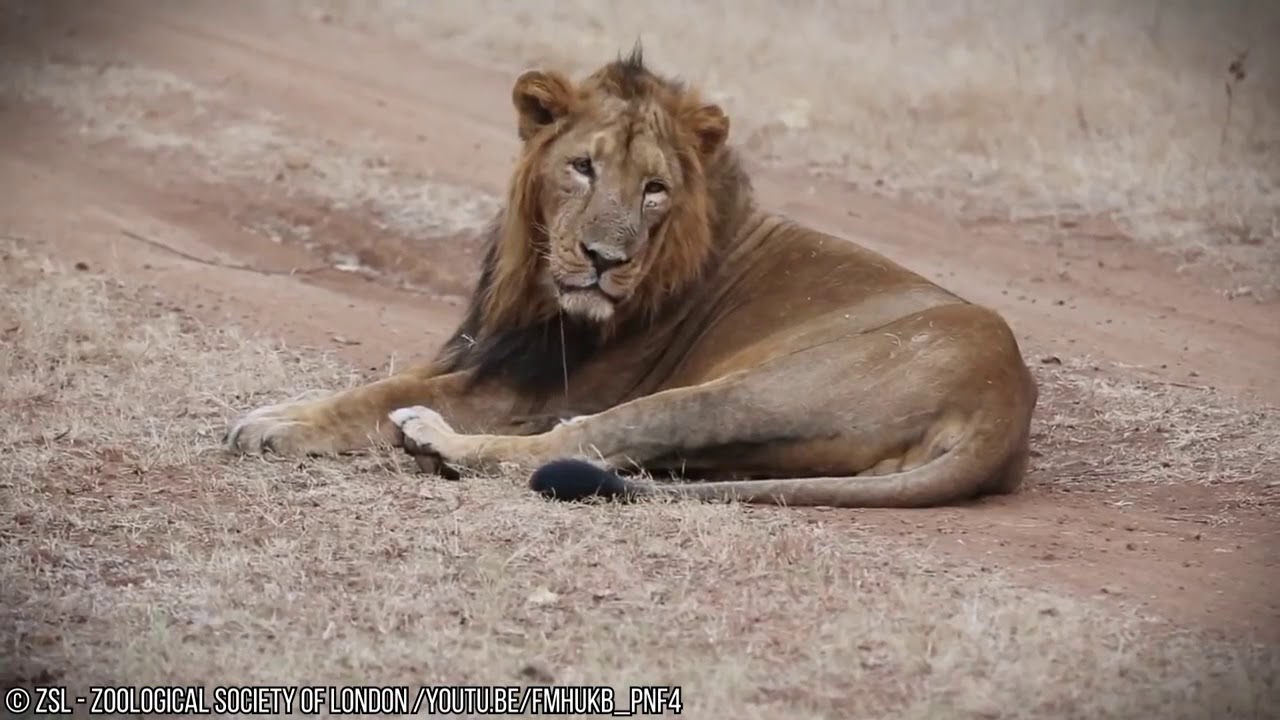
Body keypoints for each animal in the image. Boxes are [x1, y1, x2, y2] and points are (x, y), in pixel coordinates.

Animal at [224, 47, 1039, 508]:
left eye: (654, 189)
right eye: (582, 167)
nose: (604, 261)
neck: (535, 283)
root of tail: (1005, 408)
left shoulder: (520, 390)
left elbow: (380, 397)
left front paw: (280, 428)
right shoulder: (485, 349)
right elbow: (373, 383)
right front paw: (281, 409)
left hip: (744, 390)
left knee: (571, 447)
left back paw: (432, 439)